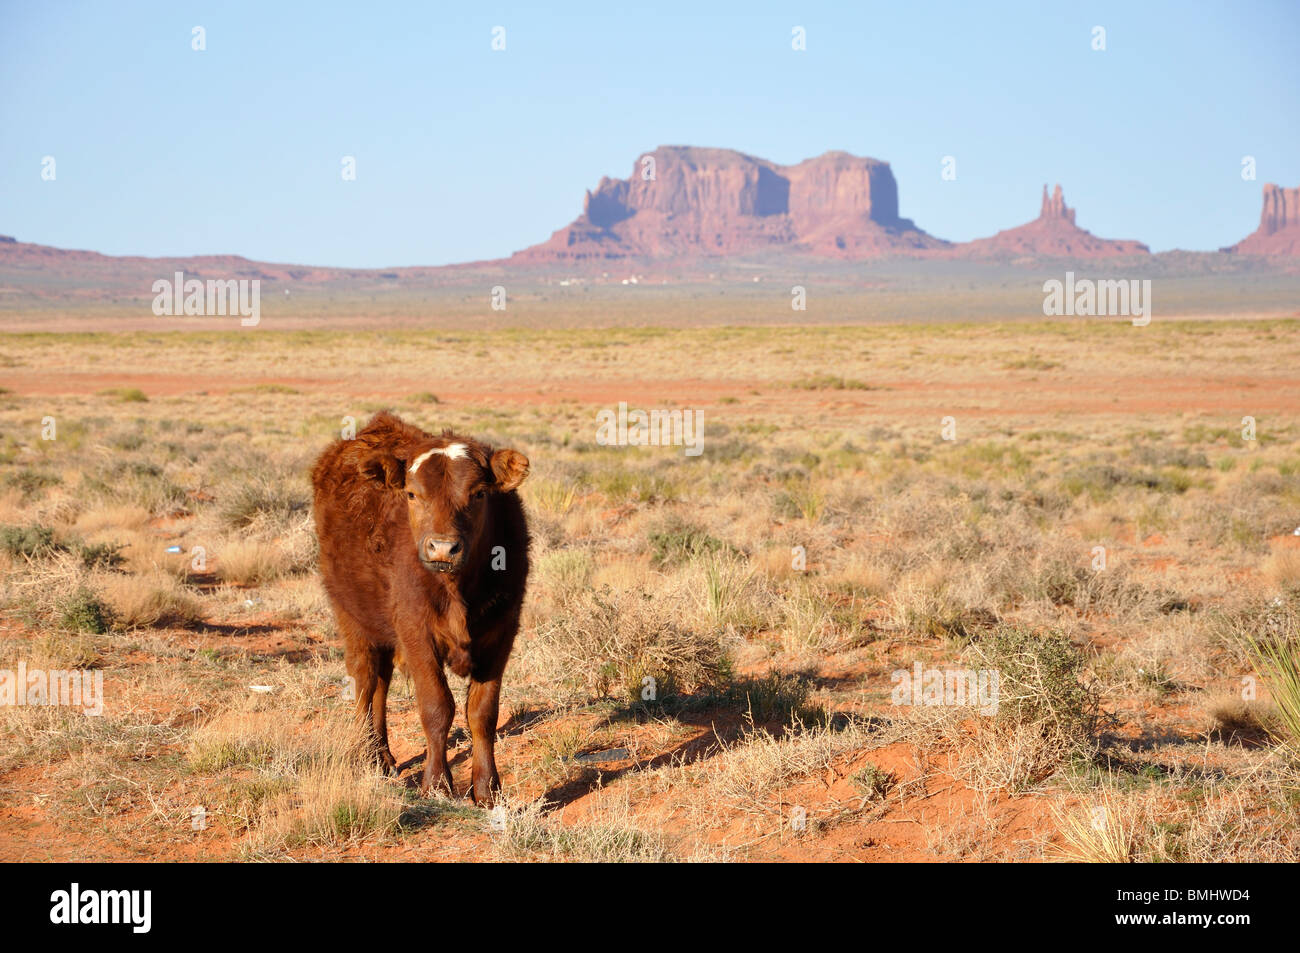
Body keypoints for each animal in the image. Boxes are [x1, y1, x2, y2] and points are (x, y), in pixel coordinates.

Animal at [310, 411, 530, 805]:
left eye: (478, 494)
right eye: (412, 494)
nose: (442, 548)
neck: (457, 587)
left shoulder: (502, 633)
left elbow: (482, 712)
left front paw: (487, 789)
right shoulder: (416, 633)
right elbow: (436, 707)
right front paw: (437, 784)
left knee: (381, 684)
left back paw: (382, 755)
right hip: (352, 617)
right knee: (365, 681)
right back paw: (365, 755)